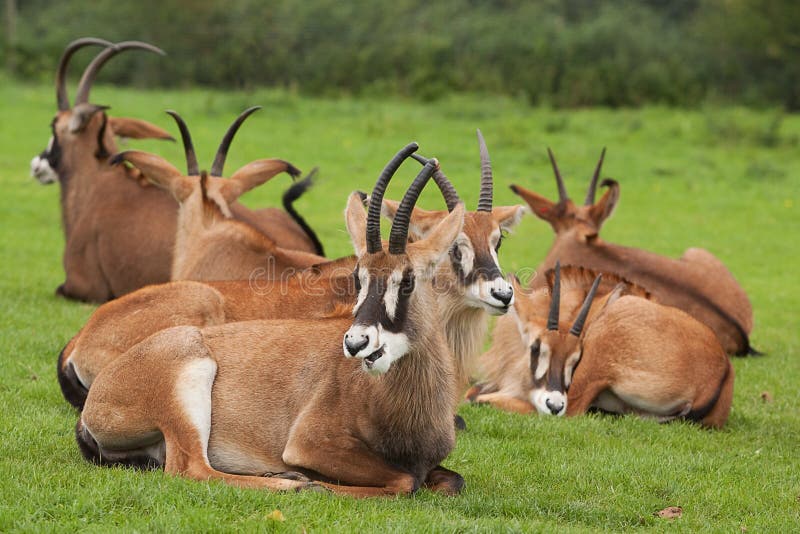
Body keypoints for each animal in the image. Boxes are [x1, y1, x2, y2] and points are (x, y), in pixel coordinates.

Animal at [77, 148, 468, 497]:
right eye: (359, 278)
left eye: (408, 279)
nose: (356, 344)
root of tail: (97, 396)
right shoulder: (308, 445)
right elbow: (404, 480)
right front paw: (312, 482)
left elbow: (451, 480)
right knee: (193, 469)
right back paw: (287, 482)